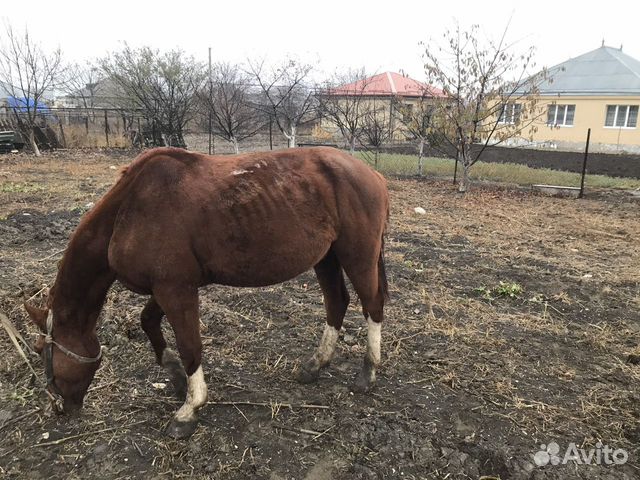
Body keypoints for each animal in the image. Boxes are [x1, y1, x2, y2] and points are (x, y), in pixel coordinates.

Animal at [24, 146, 390, 439]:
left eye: (41, 348)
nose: (59, 407)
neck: (128, 210)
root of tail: (372, 174)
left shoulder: (176, 289)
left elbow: (190, 347)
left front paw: (190, 409)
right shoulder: (169, 287)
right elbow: (148, 322)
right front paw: (175, 377)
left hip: (357, 256)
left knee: (372, 305)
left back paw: (367, 373)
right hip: (326, 258)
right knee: (336, 303)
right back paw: (316, 365)